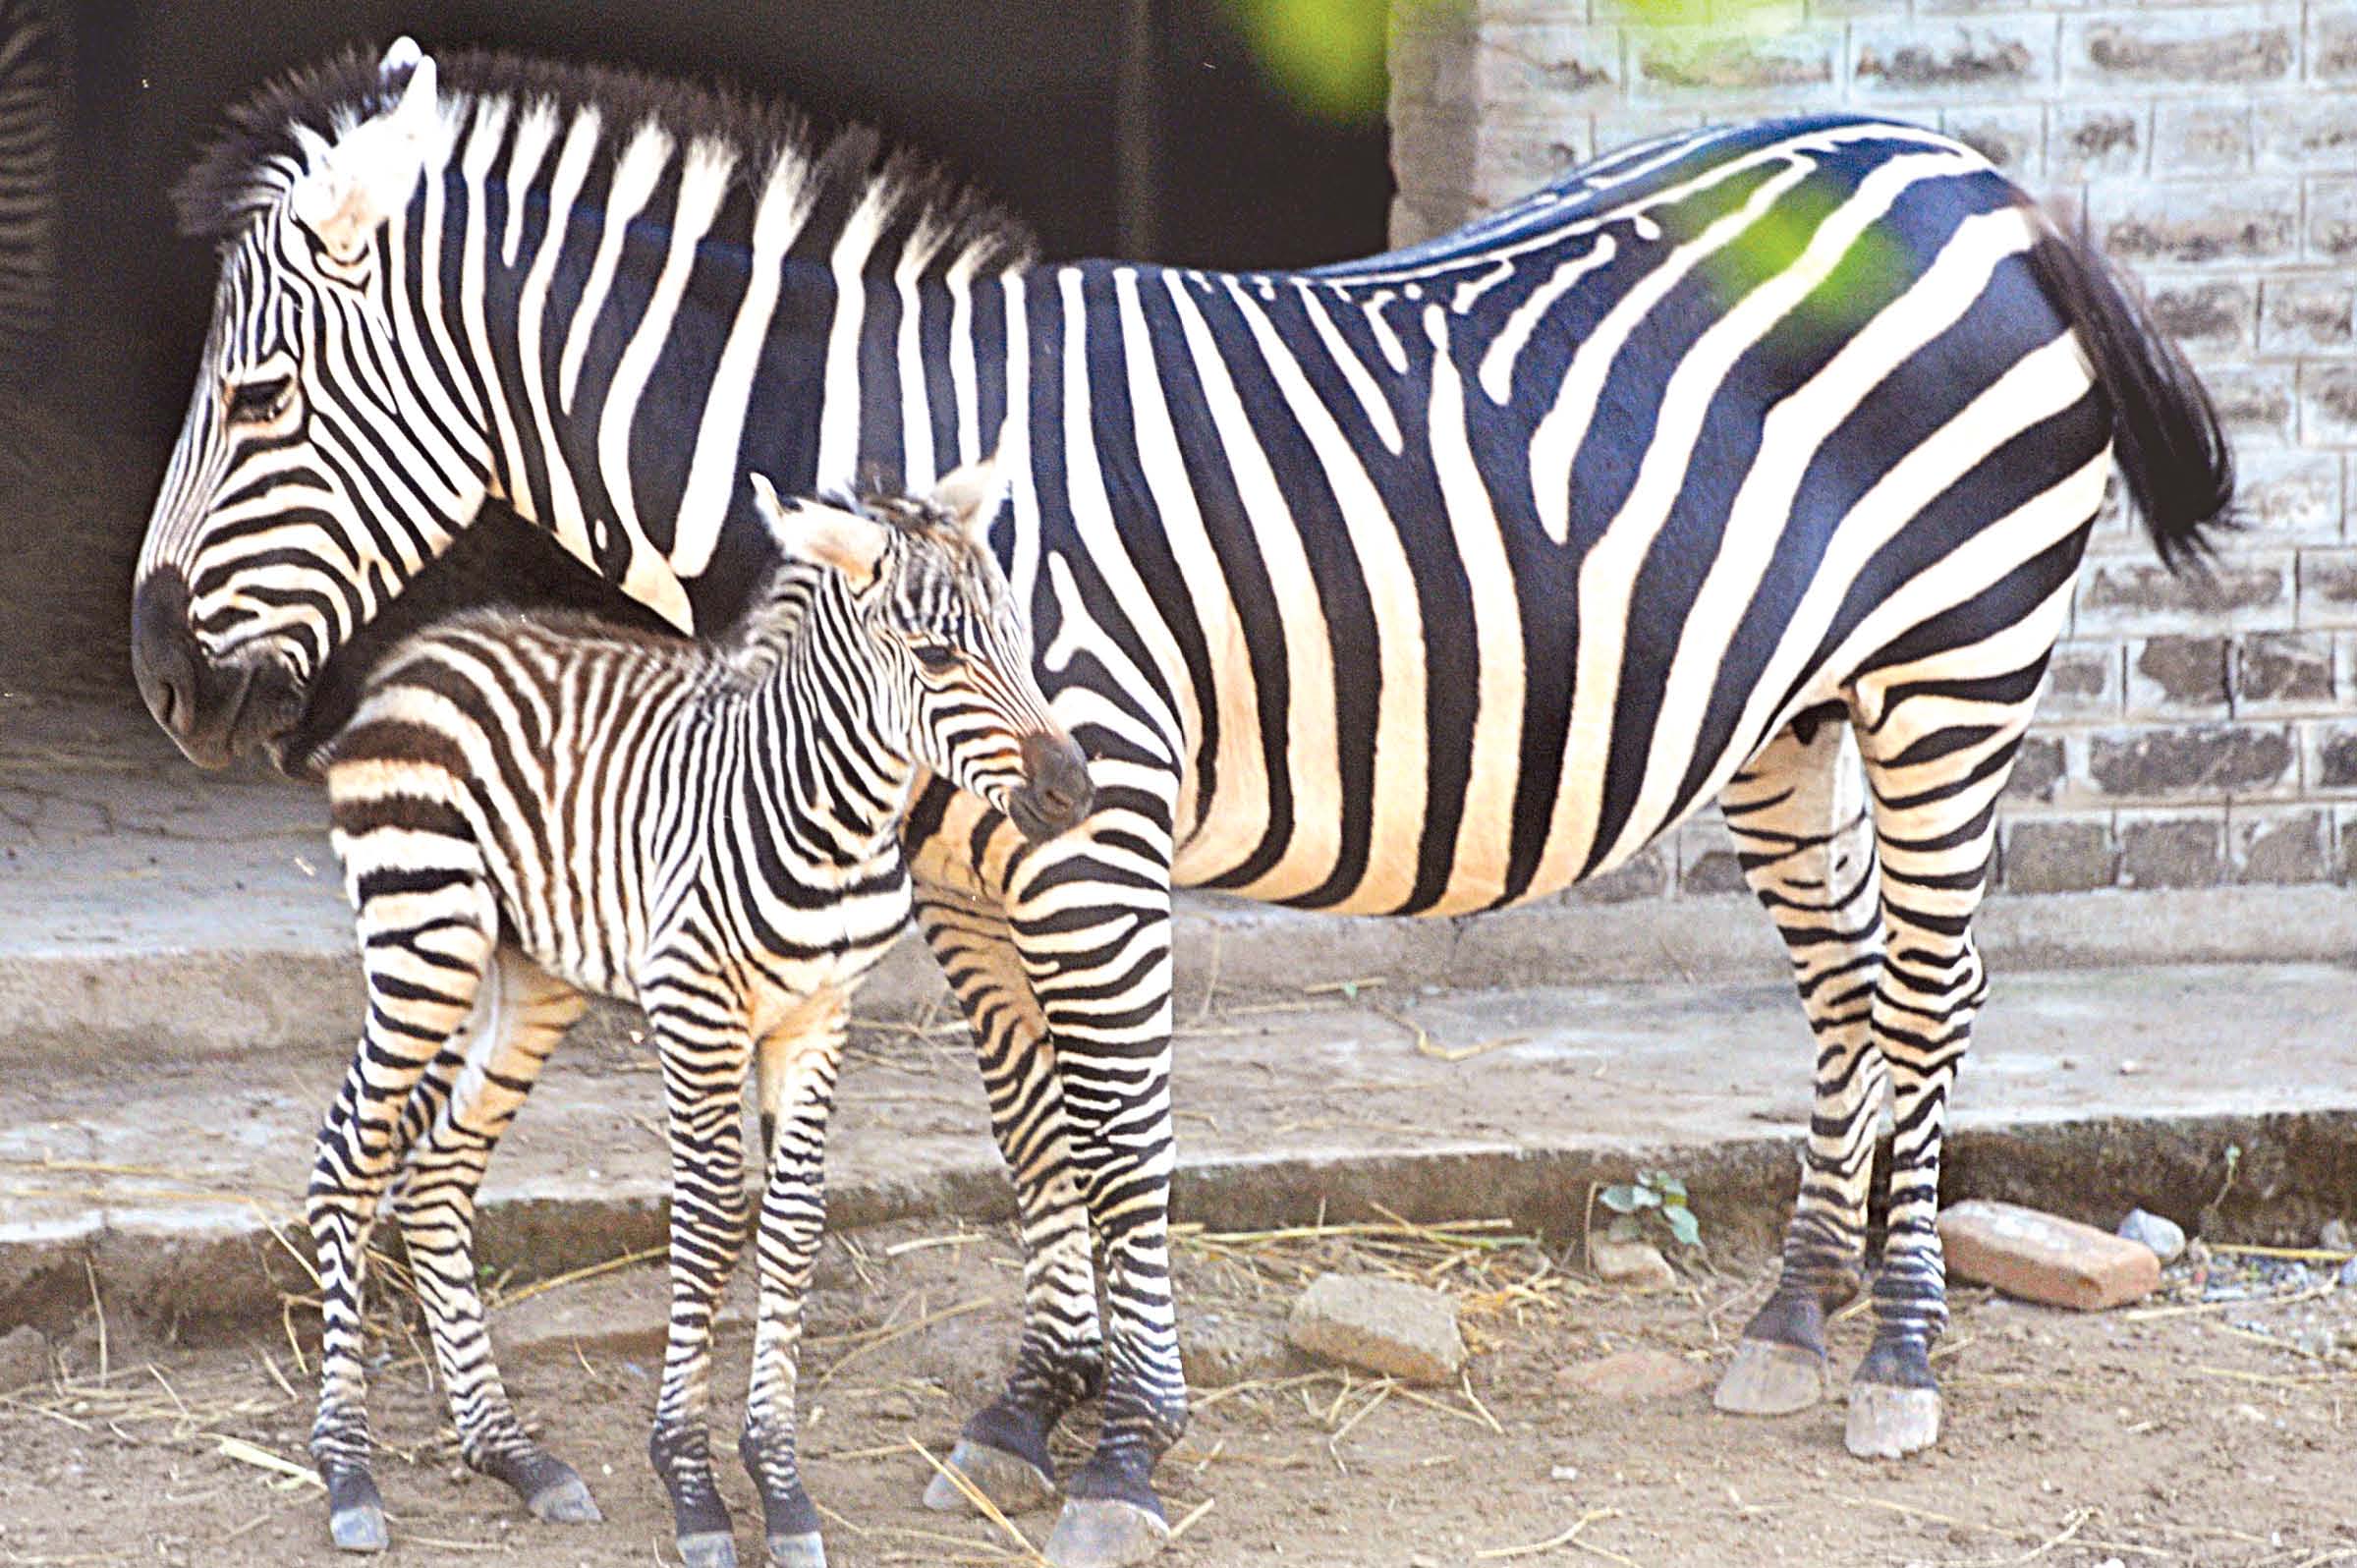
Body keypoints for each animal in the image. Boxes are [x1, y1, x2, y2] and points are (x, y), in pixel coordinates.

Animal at [310, 458, 1093, 1567]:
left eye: (1021, 640)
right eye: (937, 654)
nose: (1073, 792)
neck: (832, 818)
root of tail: (424, 649)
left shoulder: (817, 1015)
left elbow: (795, 1223)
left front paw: (782, 1485)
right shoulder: (693, 1007)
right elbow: (710, 1216)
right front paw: (692, 1484)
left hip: (528, 975)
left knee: (434, 1179)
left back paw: (513, 1455)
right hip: (426, 940)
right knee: (350, 1157)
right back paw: (348, 1472)